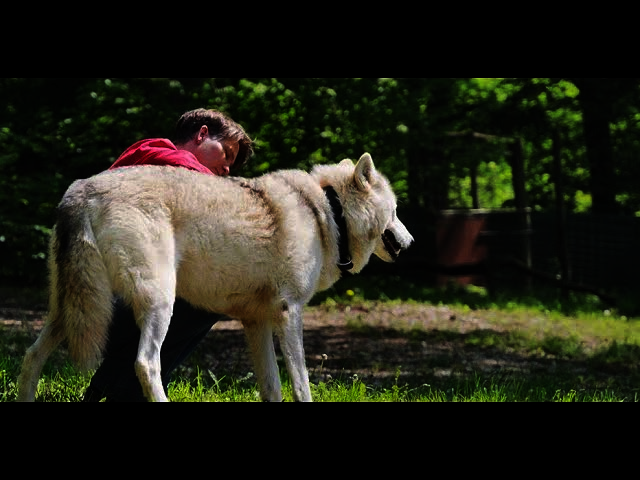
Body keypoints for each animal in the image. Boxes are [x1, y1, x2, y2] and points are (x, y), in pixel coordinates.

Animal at [17, 153, 413, 402]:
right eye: (395, 212)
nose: (411, 243)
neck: (327, 213)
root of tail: (80, 192)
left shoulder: (256, 322)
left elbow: (271, 387)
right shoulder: (290, 314)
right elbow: (301, 384)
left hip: (70, 310)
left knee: (32, 355)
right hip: (160, 304)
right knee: (145, 363)